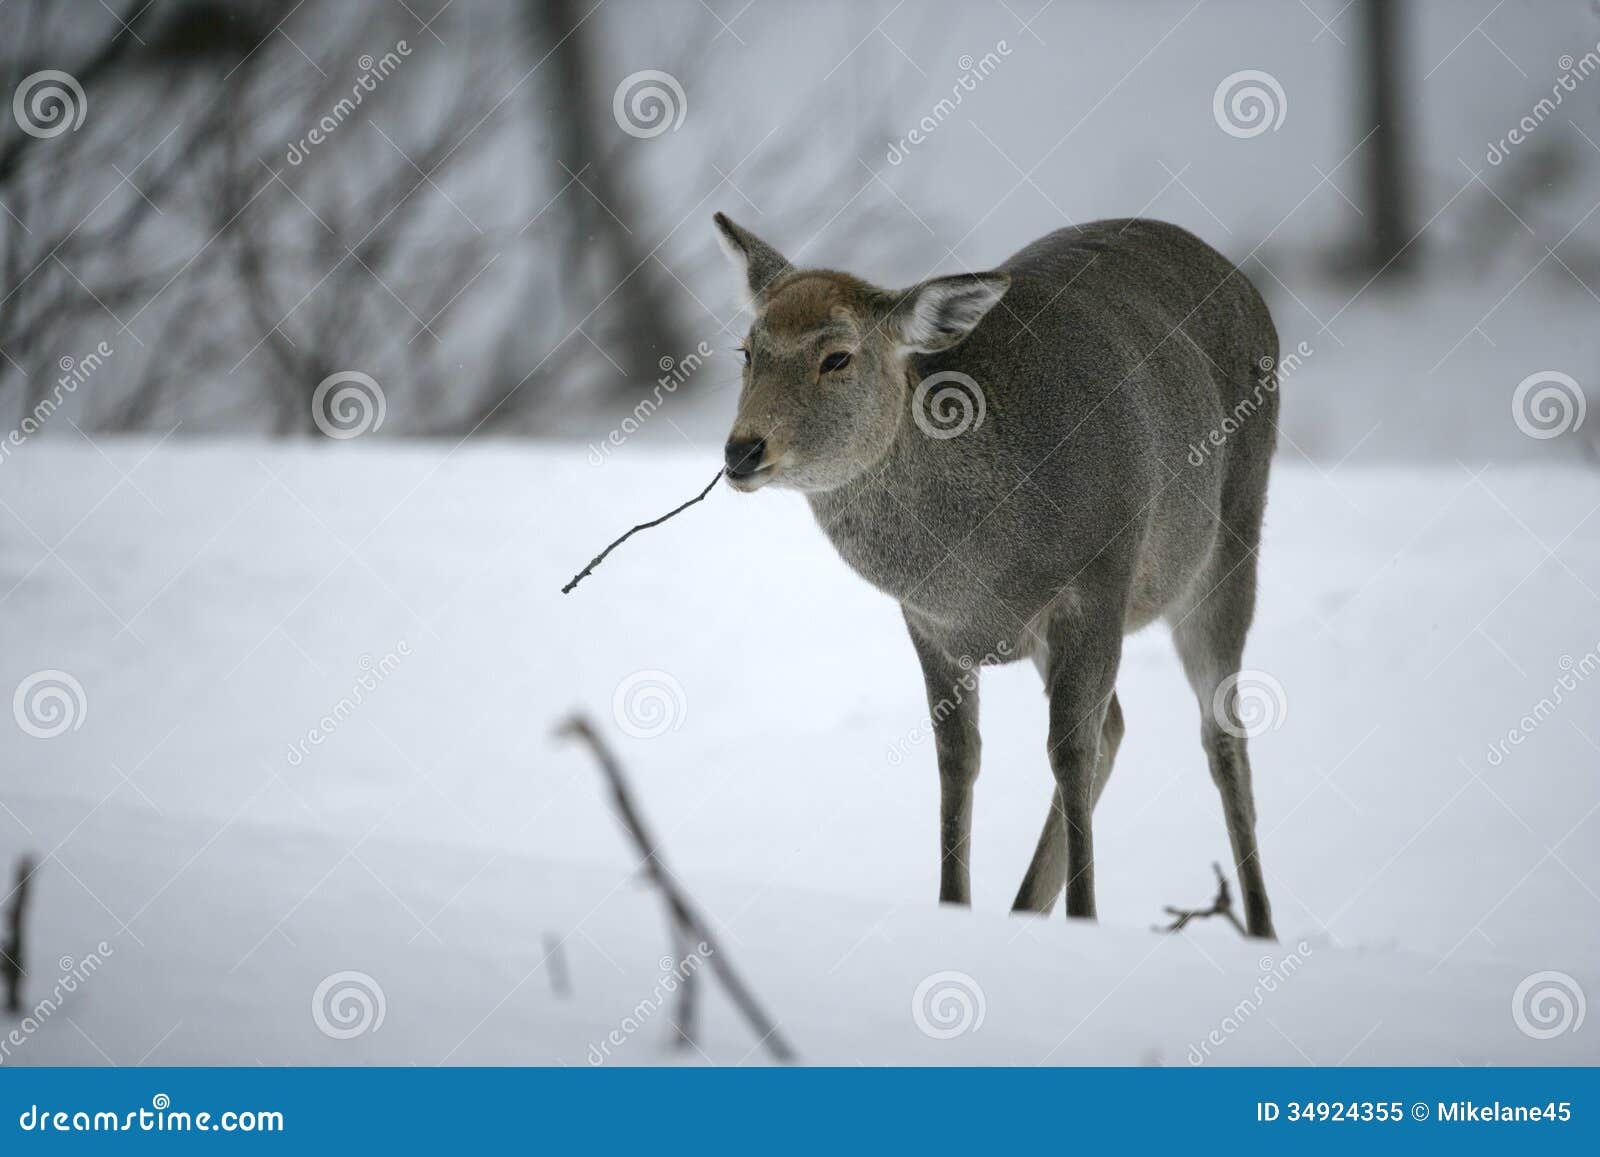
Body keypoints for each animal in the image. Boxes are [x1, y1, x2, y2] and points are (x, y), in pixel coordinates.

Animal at [713, 212, 1279, 939]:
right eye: (747, 351)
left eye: (837, 355)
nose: (742, 450)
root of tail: (1240, 278)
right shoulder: (928, 621)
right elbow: (958, 756)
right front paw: (955, 907)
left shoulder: (1100, 580)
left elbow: (1068, 750)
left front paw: (1085, 920)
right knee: (1121, 724)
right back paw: (1024, 907)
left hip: (1231, 537)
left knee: (1221, 732)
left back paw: (1260, 925)